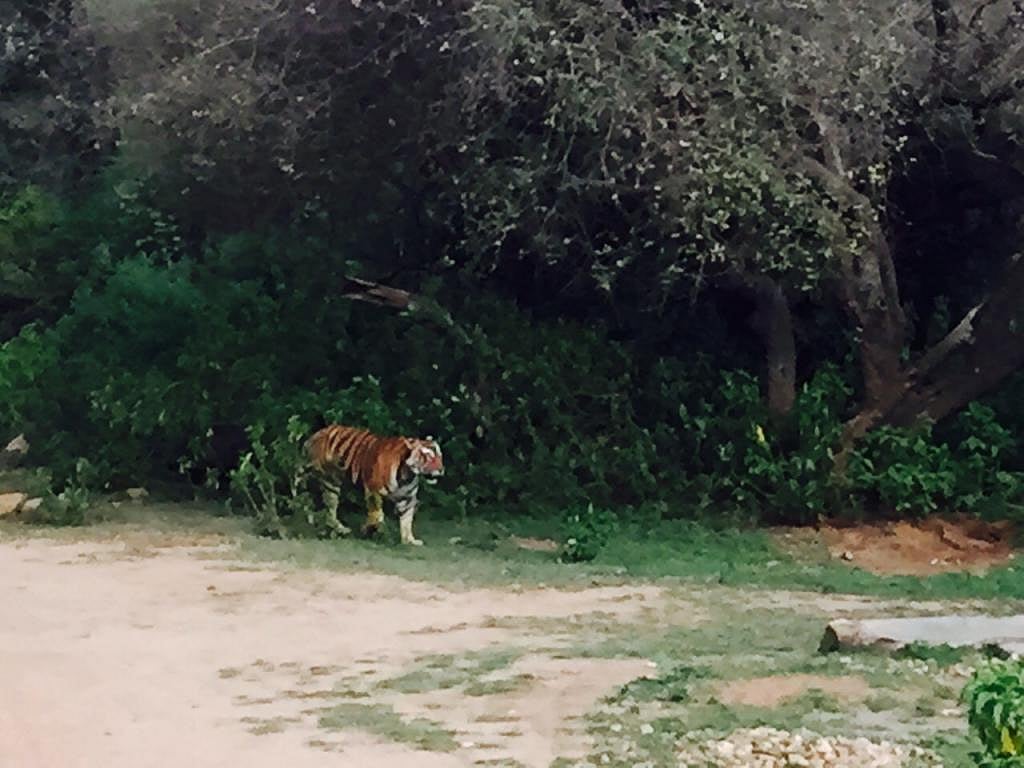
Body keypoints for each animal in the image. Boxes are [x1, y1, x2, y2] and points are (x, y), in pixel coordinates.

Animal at [305, 424, 444, 546]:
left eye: (440, 456)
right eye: (427, 456)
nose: (441, 469)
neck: (407, 476)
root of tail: (319, 432)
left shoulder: (407, 499)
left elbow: (406, 521)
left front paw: (409, 540)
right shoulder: (373, 490)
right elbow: (376, 513)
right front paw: (372, 529)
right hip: (330, 481)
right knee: (330, 506)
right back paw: (340, 528)